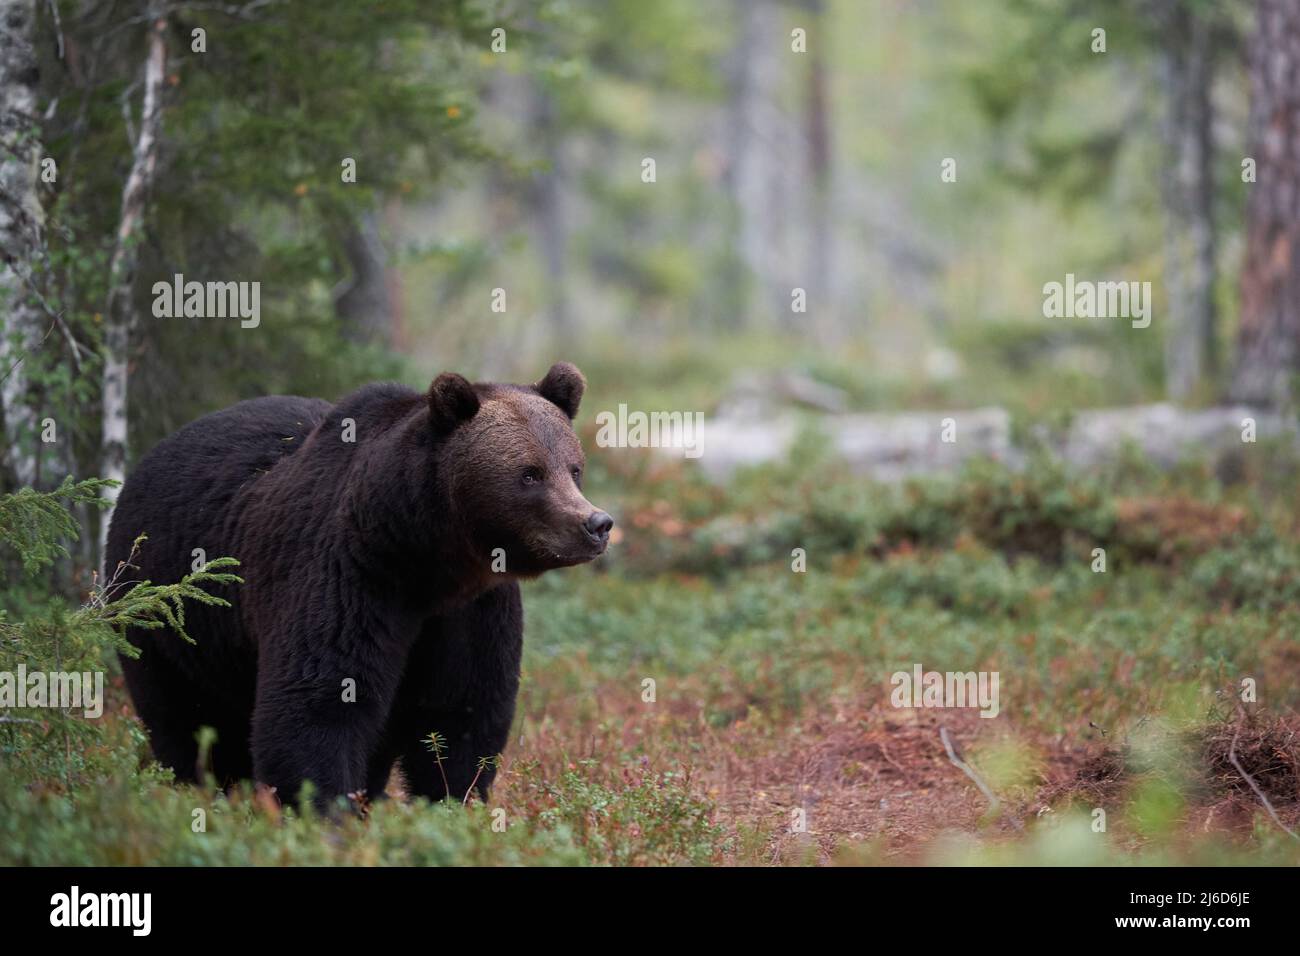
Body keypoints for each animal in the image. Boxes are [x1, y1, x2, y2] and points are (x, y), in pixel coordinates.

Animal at [104, 362, 612, 809]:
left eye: (574, 468)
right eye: (530, 473)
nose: (596, 524)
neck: (429, 561)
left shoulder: (473, 609)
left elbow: (464, 709)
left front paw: (455, 803)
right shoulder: (349, 574)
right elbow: (321, 702)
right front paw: (324, 812)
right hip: (168, 615)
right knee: (186, 718)